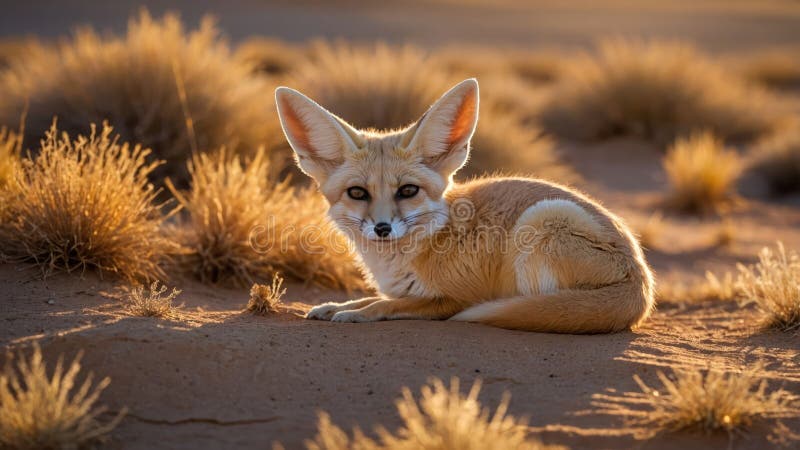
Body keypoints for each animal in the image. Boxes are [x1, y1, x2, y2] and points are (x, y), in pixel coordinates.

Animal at [274, 78, 655, 334]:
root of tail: (642, 280)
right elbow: (366, 298)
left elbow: (386, 303)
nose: (382, 228)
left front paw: (356, 313)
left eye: (407, 190)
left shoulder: (451, 298)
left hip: (542, 220)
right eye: (357, 193)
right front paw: (335, 306)